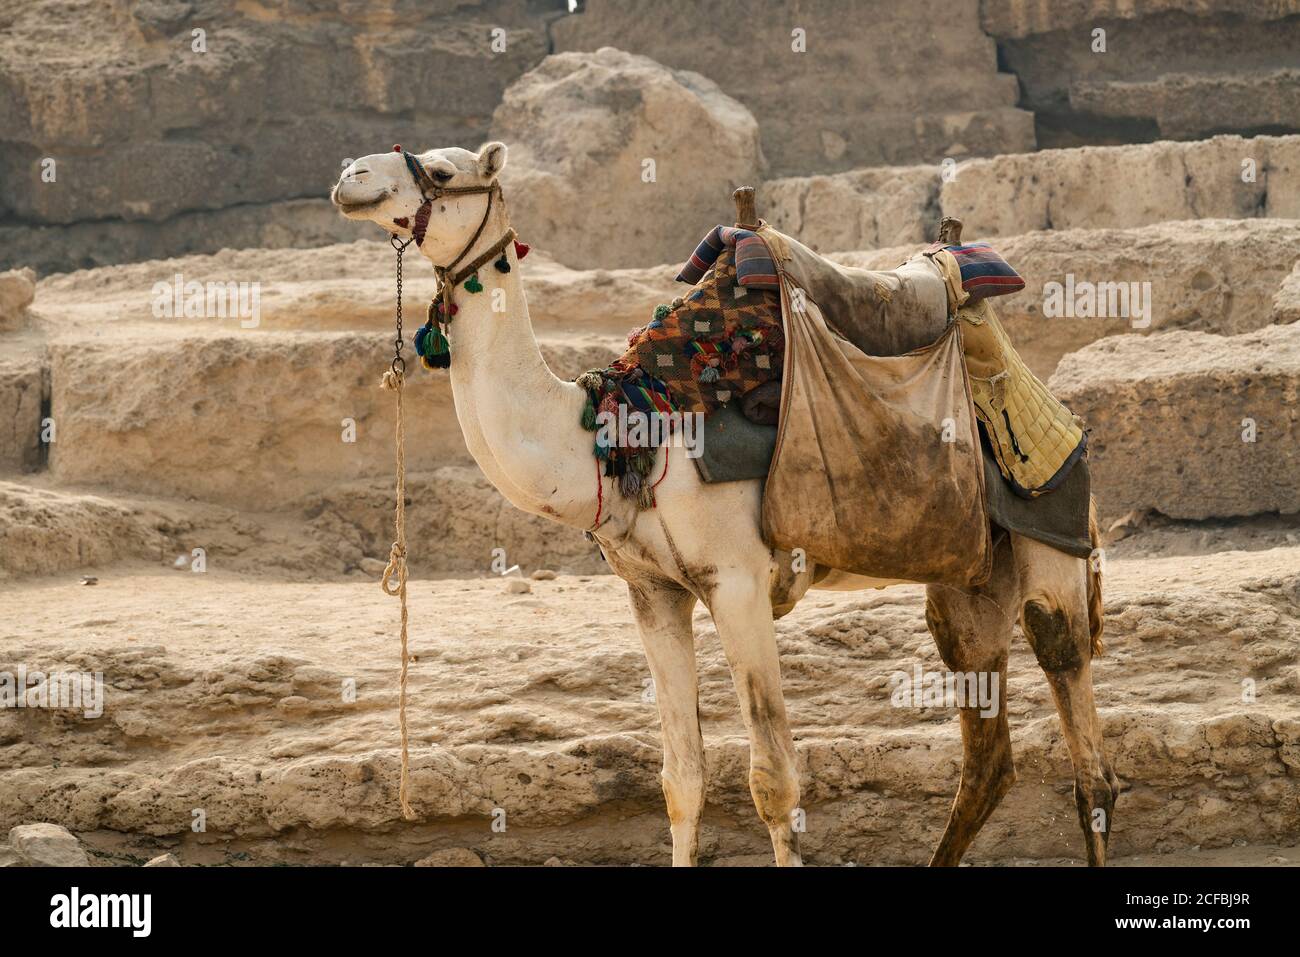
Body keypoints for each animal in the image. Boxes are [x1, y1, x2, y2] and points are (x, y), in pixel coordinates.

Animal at [332, 141, 1120, 867]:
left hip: (1052, 536)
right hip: (968, 581)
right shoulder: (652, 590)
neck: (618, 433)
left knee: (1087, 749)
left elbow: (773, 780)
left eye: (441, 170)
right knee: (986, 753)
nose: (350, 178)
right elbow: (681, 779)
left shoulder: (736, 582)